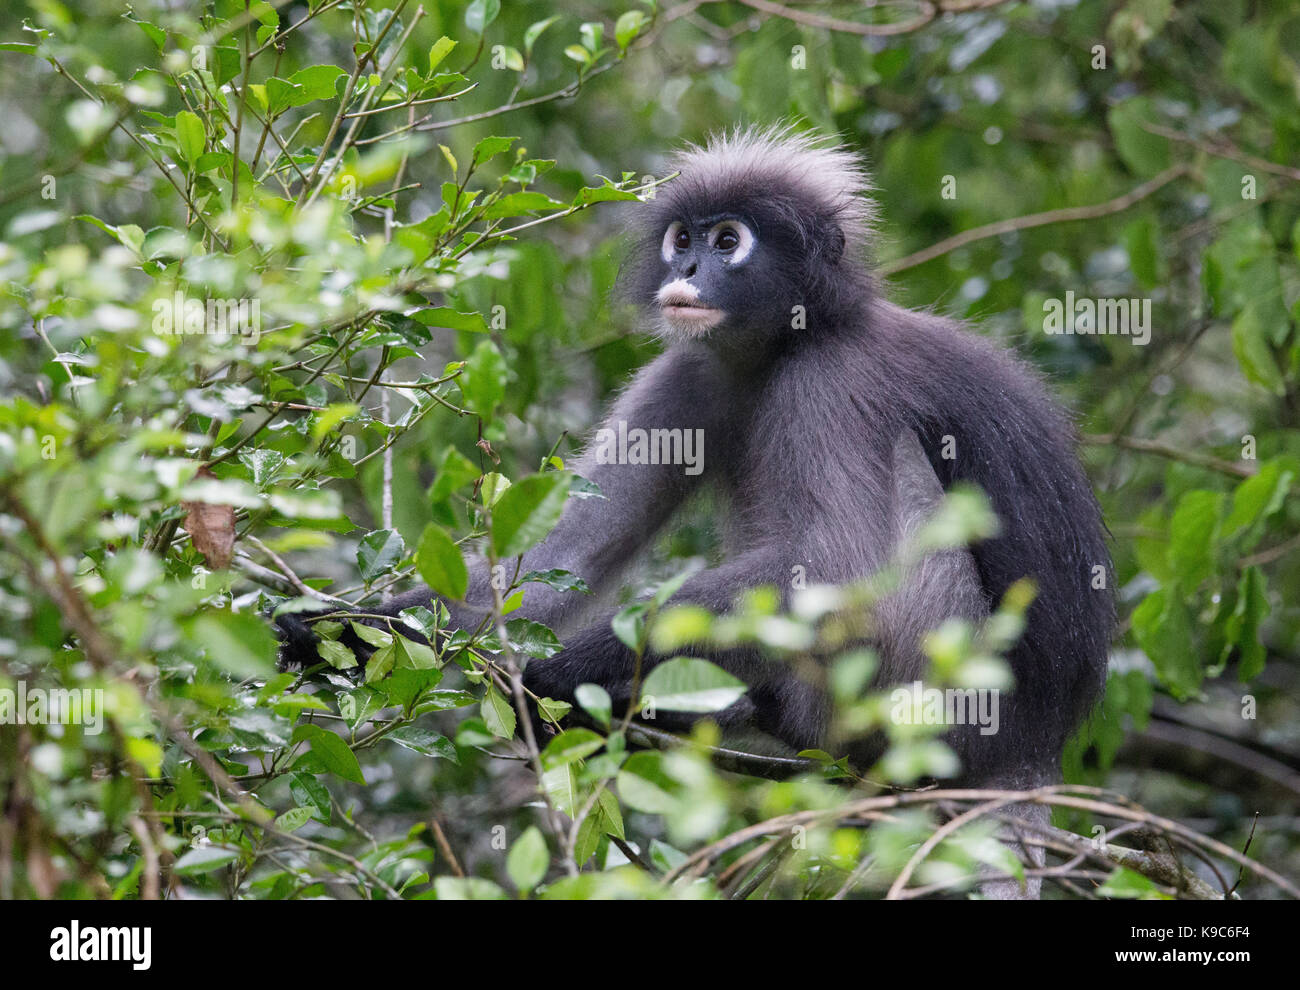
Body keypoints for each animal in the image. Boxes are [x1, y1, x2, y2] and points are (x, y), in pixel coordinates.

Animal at [277, 127, 1115, 880]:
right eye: (684, 237)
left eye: (728, 241)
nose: (685, 266)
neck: (778, 347)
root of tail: (1028, 753)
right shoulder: (690, 371)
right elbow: (559, 558)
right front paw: (346, 630)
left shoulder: (833, 383)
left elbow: (837, 568)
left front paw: (555, 676)